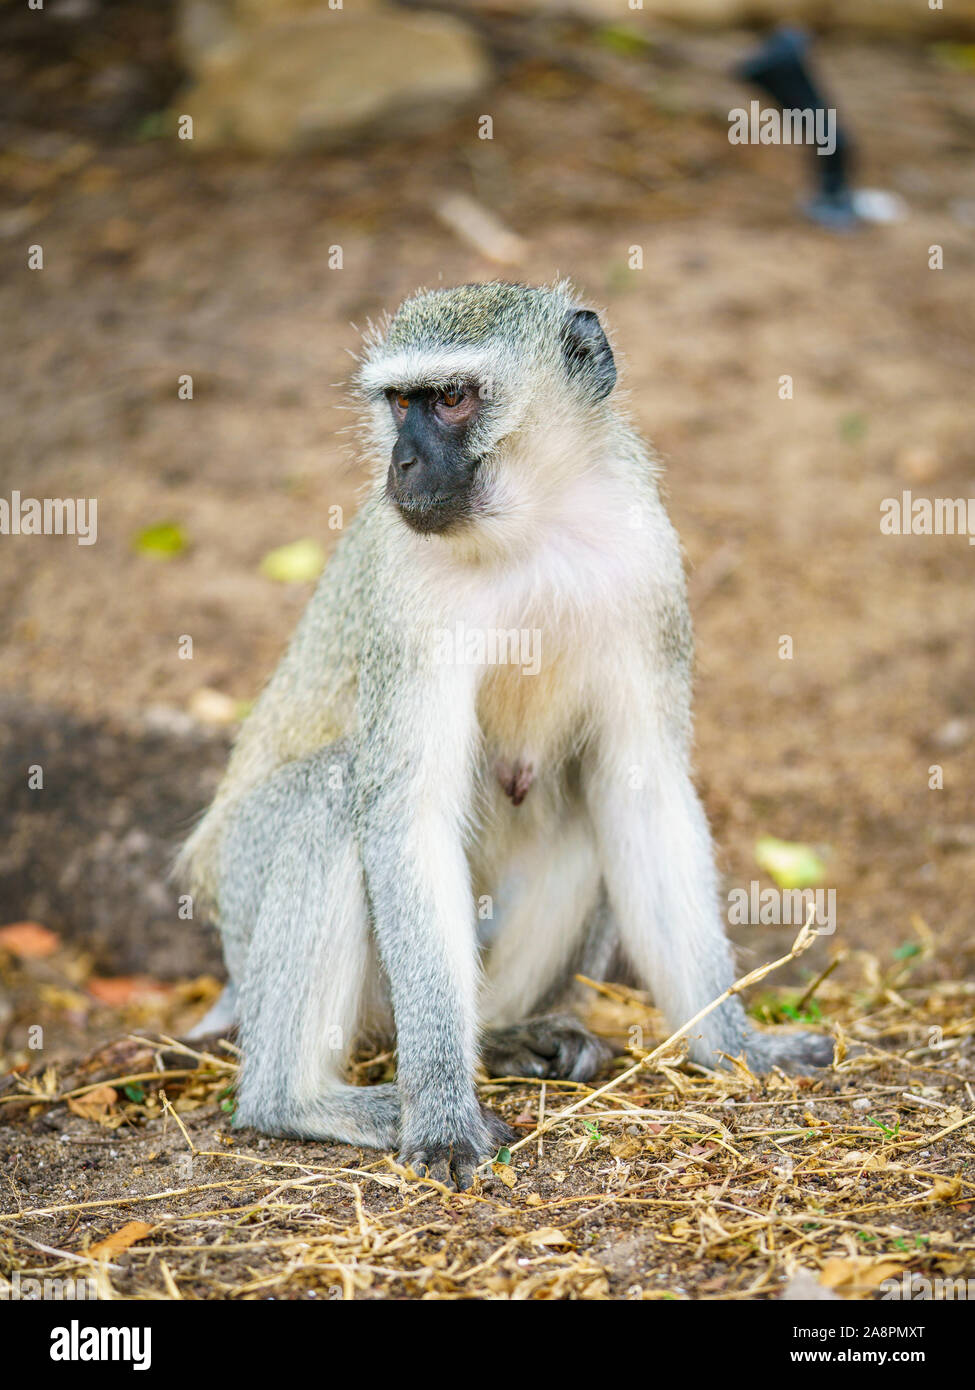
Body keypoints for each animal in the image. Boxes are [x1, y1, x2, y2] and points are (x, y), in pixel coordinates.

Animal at [180, 280, 832, 1190]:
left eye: (452, 399)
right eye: (400, 403)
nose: (400, 465)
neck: (532, 527)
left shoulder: (646, 563)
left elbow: (641, 790)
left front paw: (733, 1045)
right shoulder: (409, 599)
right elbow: (407, 813)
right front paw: (442, 1116)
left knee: (582, 807)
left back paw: (500, 1036)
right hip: (245, 895)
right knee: (333, 794)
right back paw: (300, 1100)